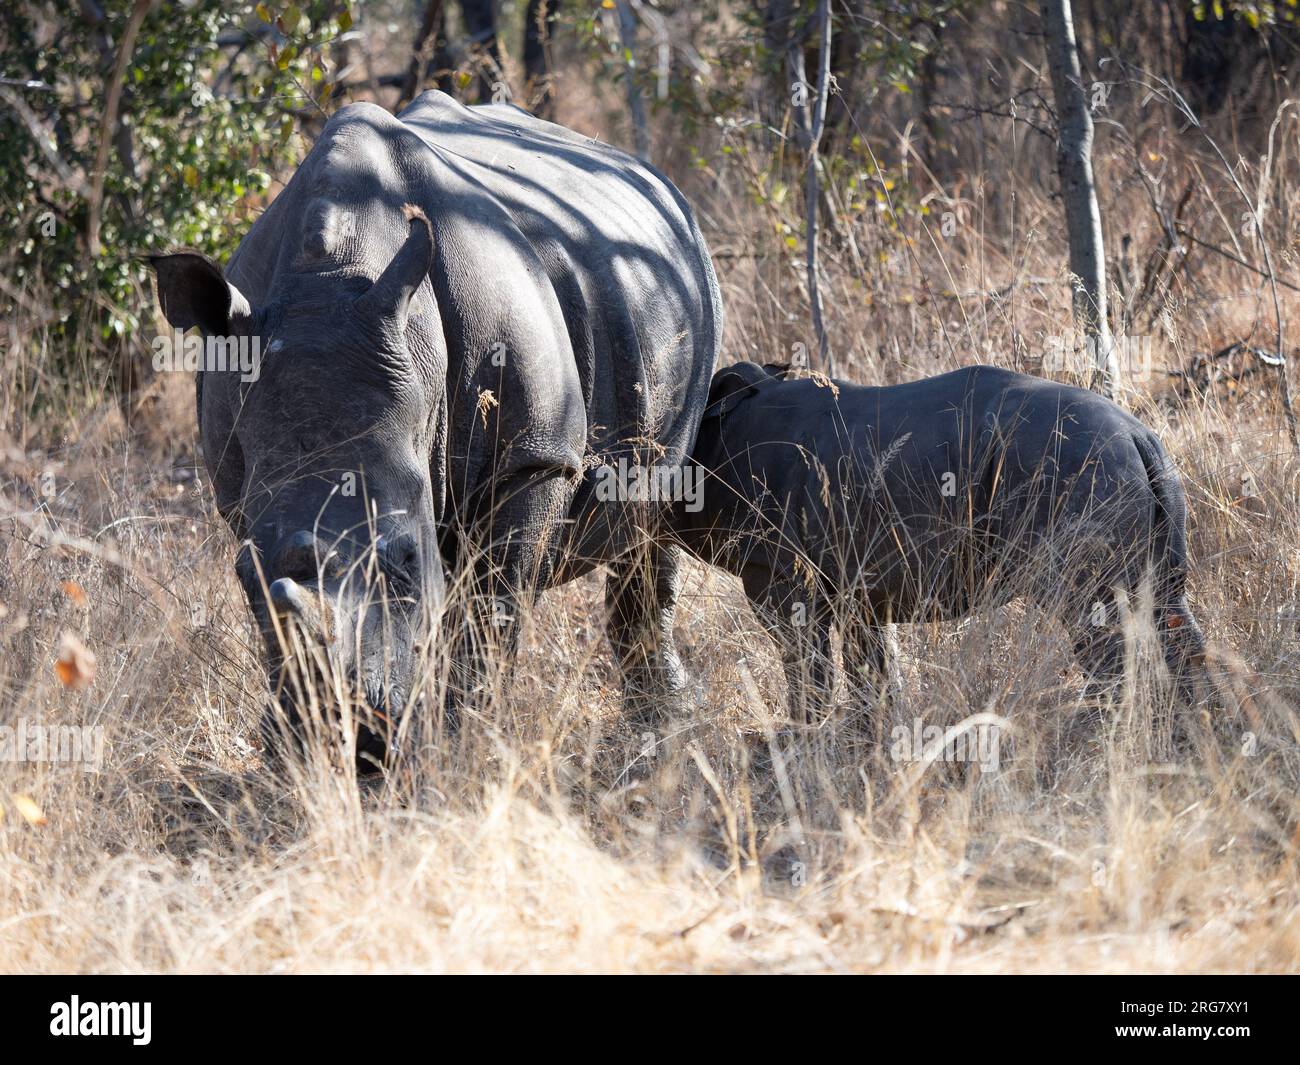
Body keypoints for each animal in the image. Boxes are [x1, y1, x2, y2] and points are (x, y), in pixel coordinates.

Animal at [151, 92, 722, 768]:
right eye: (244, 574)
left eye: (407, 556)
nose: (356, 741)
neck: (330, 283)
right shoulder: (237, 485)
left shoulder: (534, 458)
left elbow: (489, 611)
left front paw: (462, 748)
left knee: (653, 515)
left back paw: (666, 730)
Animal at [671, 362, 1209, 728]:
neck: (716, 432)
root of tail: (1138, 434)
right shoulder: (858, 582)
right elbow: (872, 668)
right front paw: (873, 742)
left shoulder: (778, 573)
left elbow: (806, 663)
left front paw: (807, 739)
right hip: (1144, 471)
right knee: (1168, 607)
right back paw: (1197, 734)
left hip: (1079, 468)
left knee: (1091, 619)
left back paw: (1103, 741)